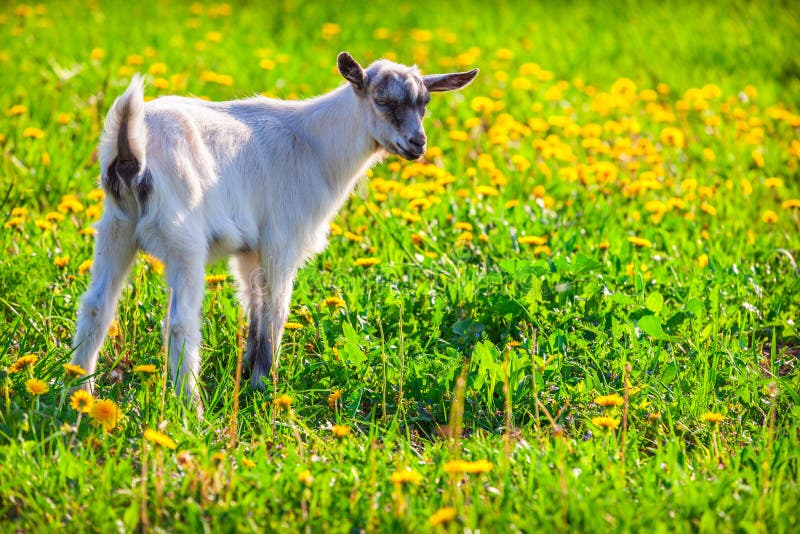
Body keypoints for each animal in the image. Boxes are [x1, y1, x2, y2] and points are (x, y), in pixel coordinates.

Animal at [70, 51, 477, 413]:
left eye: (425, 103)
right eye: (382, 100)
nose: (417, 144)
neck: (315, 146)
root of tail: (130, 153)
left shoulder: (250, 251)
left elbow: (255, 310)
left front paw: (252, 376)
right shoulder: (281, 242)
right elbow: (276, 313)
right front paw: (266, 387)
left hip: (116, 229)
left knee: (95, 307)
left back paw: (78, 392)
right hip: (183, 240)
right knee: (180, 322)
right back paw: (191, 409)